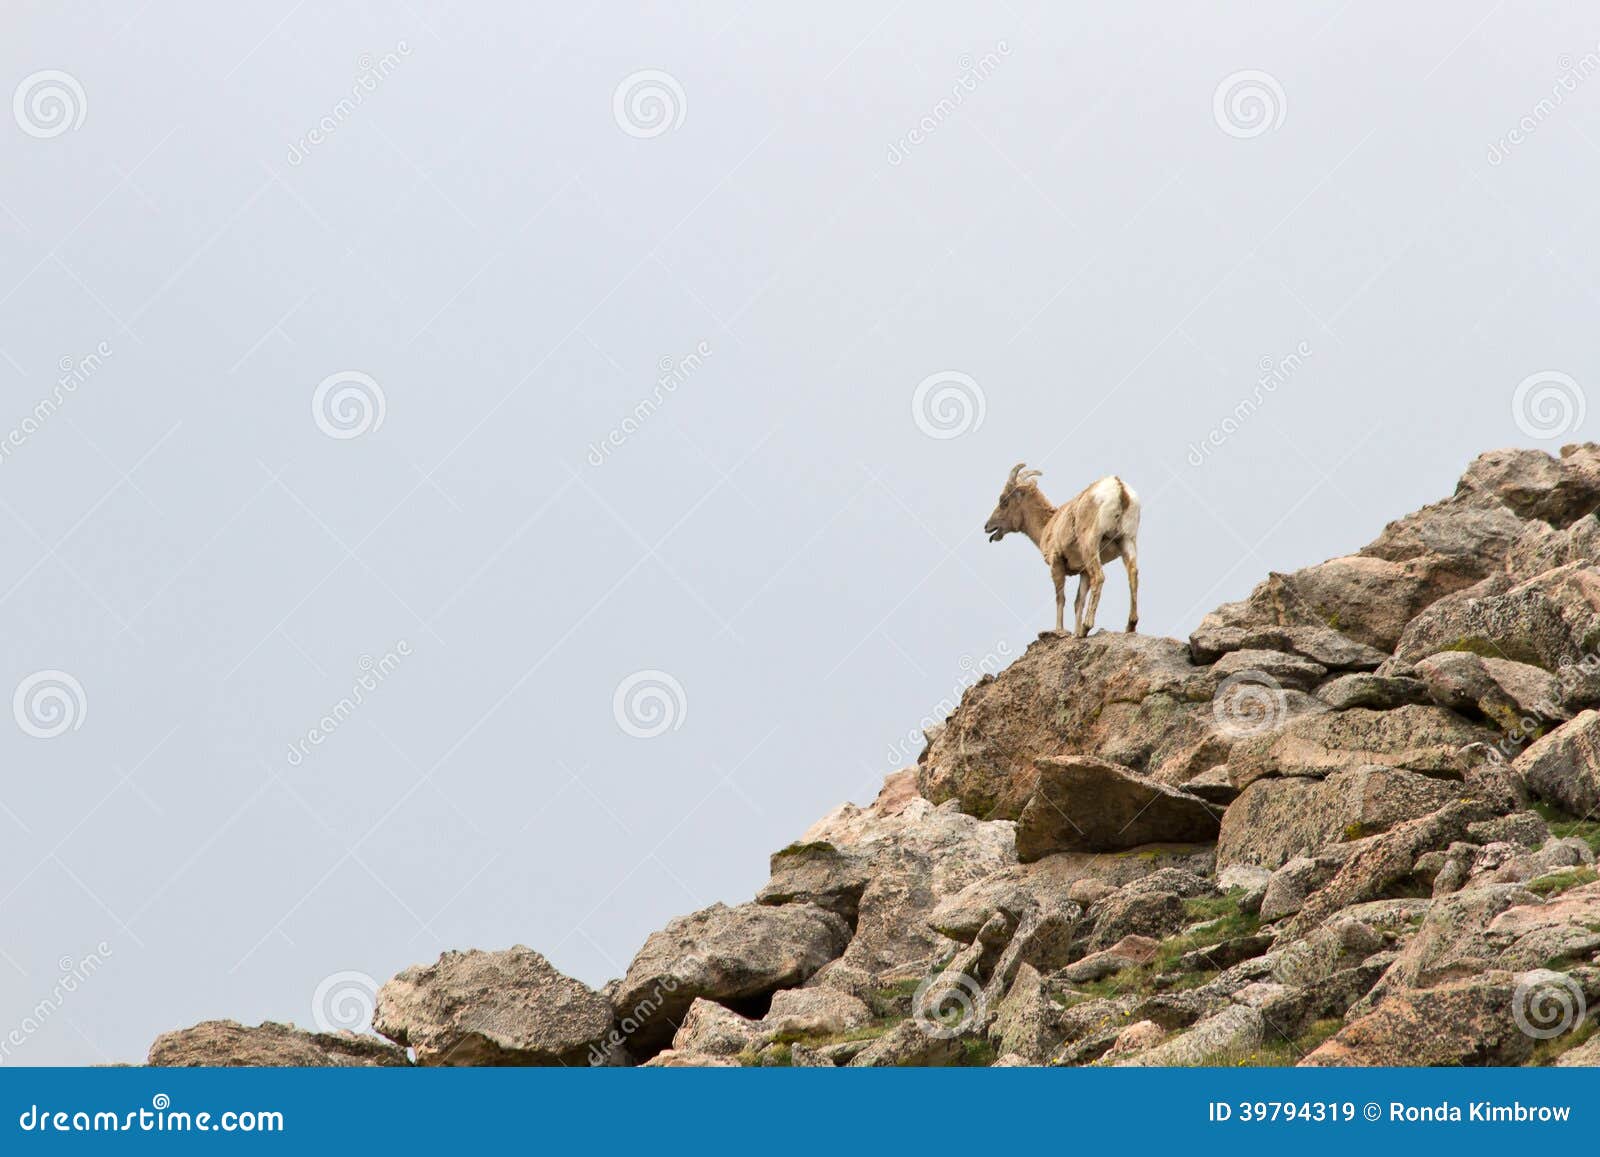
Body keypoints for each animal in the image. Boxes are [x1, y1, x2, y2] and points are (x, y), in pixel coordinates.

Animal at [983, 462, 1141, 637]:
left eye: (1004, 500)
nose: (987, 527)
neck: (1048, 524)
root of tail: (1119, 488)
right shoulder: (1083, 572)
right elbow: (1079, 602)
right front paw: (1076, 634)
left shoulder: (1056, 562)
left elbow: (1061, 598)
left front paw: (1060, 630)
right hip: (1127, 540)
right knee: (1133, 574)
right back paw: (1130, 626)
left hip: (1090, 544)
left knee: (1099, 577)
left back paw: (1086, 627)